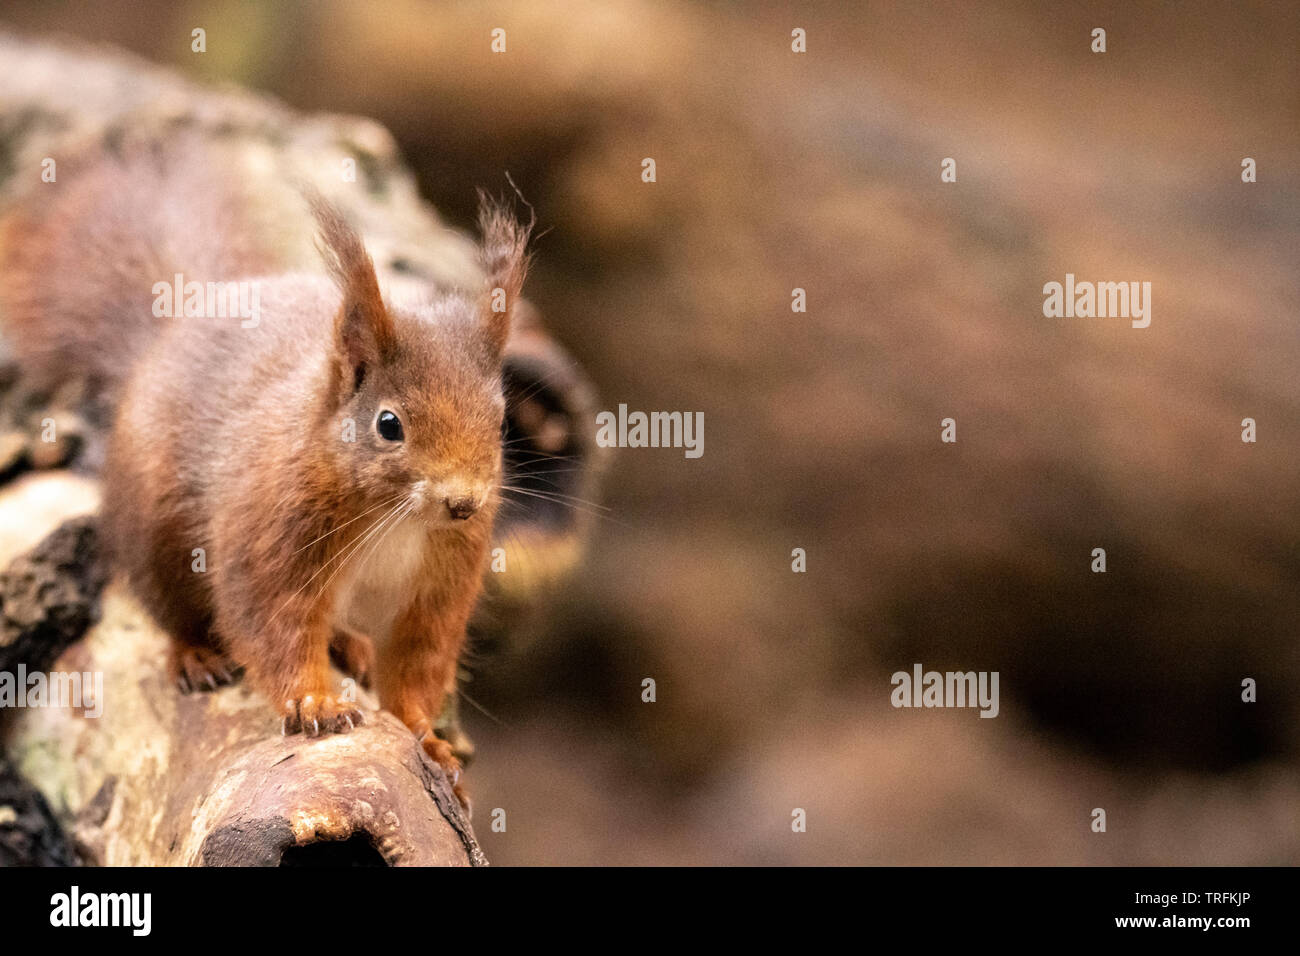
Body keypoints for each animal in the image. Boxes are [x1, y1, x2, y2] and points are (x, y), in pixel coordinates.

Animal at [0, 138, 531, 804]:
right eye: (389, 424)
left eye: (501, 419)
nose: (463, 502)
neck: (394, 518)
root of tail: (171, 333)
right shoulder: (273, 533)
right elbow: (271, 621)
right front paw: (316, 703)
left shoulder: (442, 582)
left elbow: (419, 663)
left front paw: (426, 738)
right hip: (155, 533)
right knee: (170, 607)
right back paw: (196, 654)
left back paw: (349, 643)